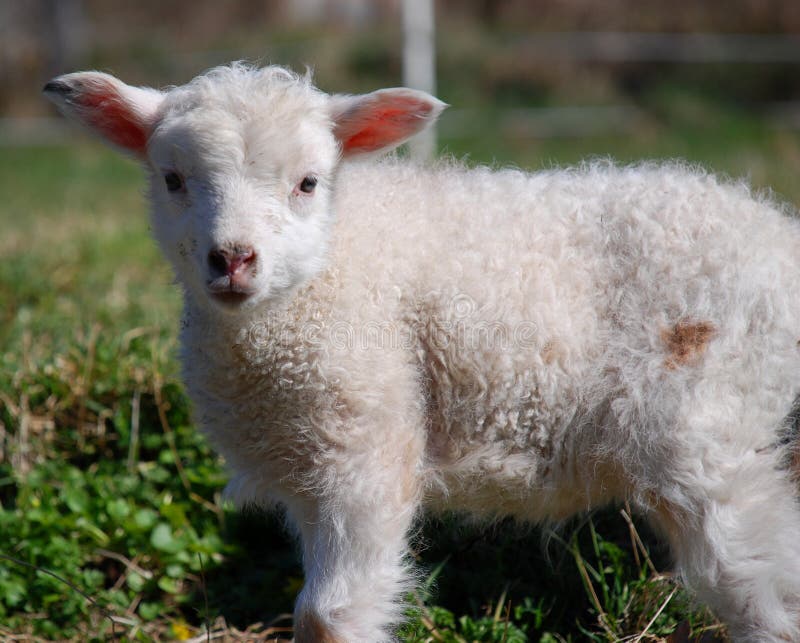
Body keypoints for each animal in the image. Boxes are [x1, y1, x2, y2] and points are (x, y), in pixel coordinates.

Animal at [44, 62, 800, 642]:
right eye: (172, 179)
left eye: (308, 182)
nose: (232, 259)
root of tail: (778, 236)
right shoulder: (305, 462)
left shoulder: (366, 439)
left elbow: (330, 615)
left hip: (705, 421)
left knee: (749, 575)